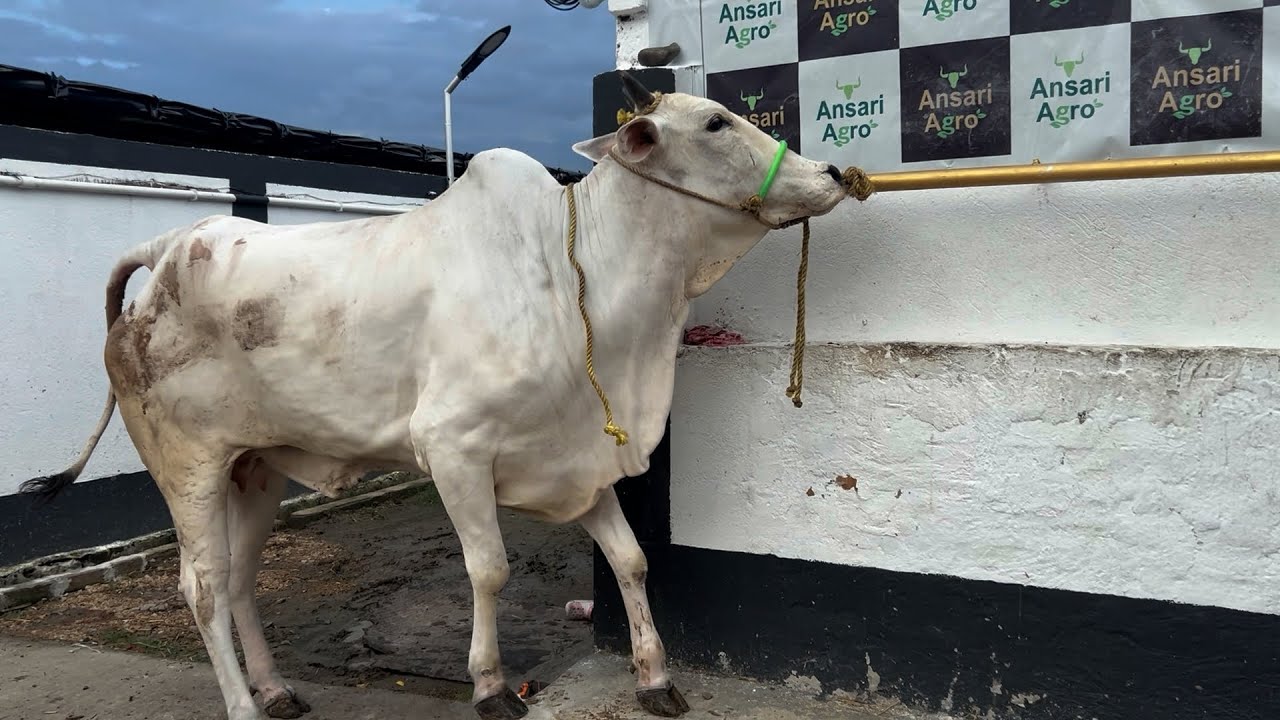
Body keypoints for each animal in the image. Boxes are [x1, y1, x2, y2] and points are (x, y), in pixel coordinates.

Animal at [20, 72, 851, 720]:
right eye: (714, 123)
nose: (834, 173)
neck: (578, 275)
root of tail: (164, 253)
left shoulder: (576, 449)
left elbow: (631, 559)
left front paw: (654, 676)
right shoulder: (453, 448)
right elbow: (489, 569)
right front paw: (489, 686)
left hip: (254, 470)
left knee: (241, 580)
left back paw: (276, 689)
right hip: (187, 465)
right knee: (201, 586)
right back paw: (241, 704)